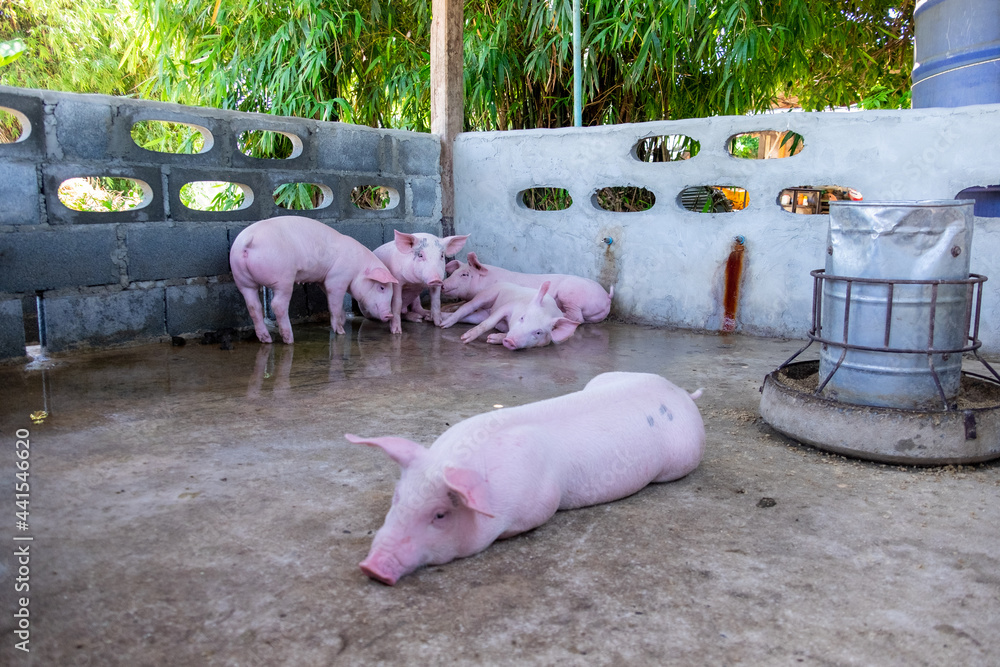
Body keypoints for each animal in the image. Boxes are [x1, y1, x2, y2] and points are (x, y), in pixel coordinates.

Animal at [230, 216, 398, 344]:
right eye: (381, 287)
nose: (389, 314)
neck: (358, 267)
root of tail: (249, 240)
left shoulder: (324, 280)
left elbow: (331, 301)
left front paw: (343, 320)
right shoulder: (337, 278)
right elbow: (335, 302)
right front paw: (341, 331)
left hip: (242, 279)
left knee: (253, 306)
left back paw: (266, 340)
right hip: (282, 277)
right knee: (277, 305)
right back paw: (289, 340)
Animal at [346, 371, 705, 585]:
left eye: (440, 514)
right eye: (397, 498)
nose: (371, 567)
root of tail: (681, 392)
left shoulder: (541, 502)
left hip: (683, 458)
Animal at [439, 281, 579, 349]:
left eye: (538, 332)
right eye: (522, 317)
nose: (510, 341)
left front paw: (491, 339)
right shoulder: (507, 307)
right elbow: (489, 323)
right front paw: (465, 339)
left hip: (480, 315)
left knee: (471, 317)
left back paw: (440, 319)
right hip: (487, 294)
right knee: (467, 307)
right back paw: (443, 325)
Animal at [443, 252, 613, 324]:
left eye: (465, 274)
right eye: (454, 273)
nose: (443, 284)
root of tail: (607, 297)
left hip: (571, 295)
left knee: (577, 317)